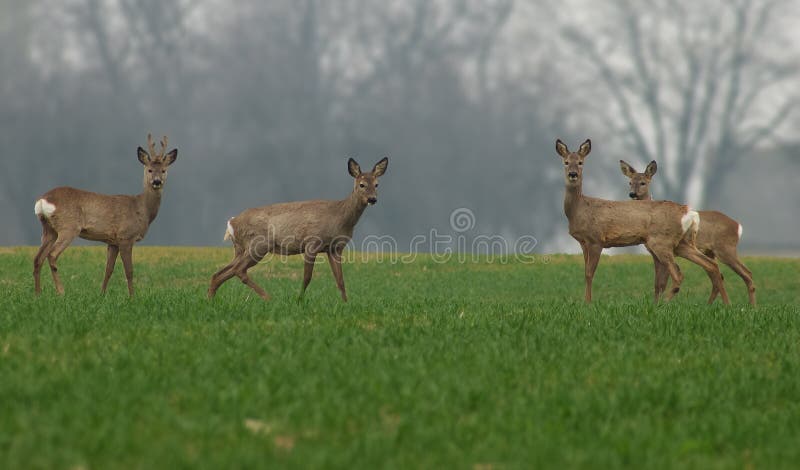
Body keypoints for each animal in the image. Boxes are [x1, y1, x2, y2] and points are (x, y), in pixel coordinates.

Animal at [33, 134, 178, 296]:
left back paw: (38, 293)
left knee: (38, 258)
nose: (157, 182)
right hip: (68, 227)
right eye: (150, 170)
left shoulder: (113, 241)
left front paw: (101, 294)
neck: (142, 209)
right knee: (52, 255)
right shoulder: (125, 236)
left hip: (49, 229)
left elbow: (108, 270)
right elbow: (129, 271)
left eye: (164, 170)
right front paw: (132, 296)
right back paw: (61, 291)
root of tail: (43, 200)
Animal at [208, 157, 389, 302]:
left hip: (241, 248)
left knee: (221, 272)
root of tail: (232, 223)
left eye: (377, 184)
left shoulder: (335, 248)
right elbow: (307, 277)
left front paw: (345, 303)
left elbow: (340, 280)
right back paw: (268, 297)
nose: (372, 199)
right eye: (362, 184)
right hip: (258, 244)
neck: (340, 218)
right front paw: (299, 300)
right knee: (238, 270)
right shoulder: (312, 242)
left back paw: (210, 299)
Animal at [555, 139, 729, 304]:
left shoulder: (596, 239)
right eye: (566, 162)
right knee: (711, 265)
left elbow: (590, 273)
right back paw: (725, 304)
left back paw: (663, 304)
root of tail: (689, 212)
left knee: (679, 273)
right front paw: (586, 301)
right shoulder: (583, 242)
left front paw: (587, 303)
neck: (579, 209)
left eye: (580, 162)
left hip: (661, 241)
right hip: (682, 243)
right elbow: (586, 273)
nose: (572, 174)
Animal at [620, 159, 755, 306]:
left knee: (746, 273)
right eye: (630, 182)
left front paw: (657, 305)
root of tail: (738, 226)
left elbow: (661, 283)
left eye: (643, 183)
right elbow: (658, 284)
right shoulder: (654, 253)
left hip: (725, 249)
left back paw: (747, 306)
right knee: (718, 275)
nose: (632, 194)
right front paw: (655, 304)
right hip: (710, 252)